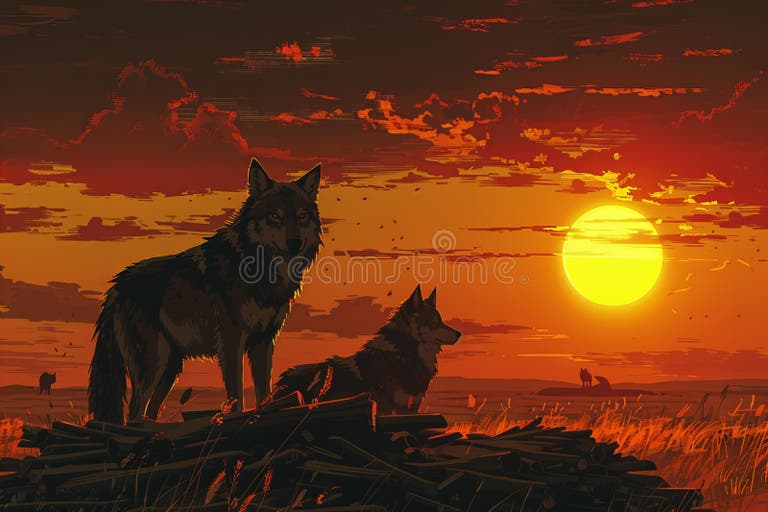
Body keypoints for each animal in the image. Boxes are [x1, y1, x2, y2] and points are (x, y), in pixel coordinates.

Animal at [88, 159, 322, 423]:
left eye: (302, 216)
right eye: (275, 215)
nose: (295, 243)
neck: (260, 267)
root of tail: (116, 287)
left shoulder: (264, 340)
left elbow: (264, 392)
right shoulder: (231, 339)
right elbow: (236, 395)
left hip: (170, 369)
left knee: (150, 411)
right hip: (153, 365)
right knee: (136, 411)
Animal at [272, 285, 461, 414]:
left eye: (441, 321)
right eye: (434, 322)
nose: (459, 334)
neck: (403, 354)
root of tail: (282, 379)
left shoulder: (412, 407)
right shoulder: (389, 408)